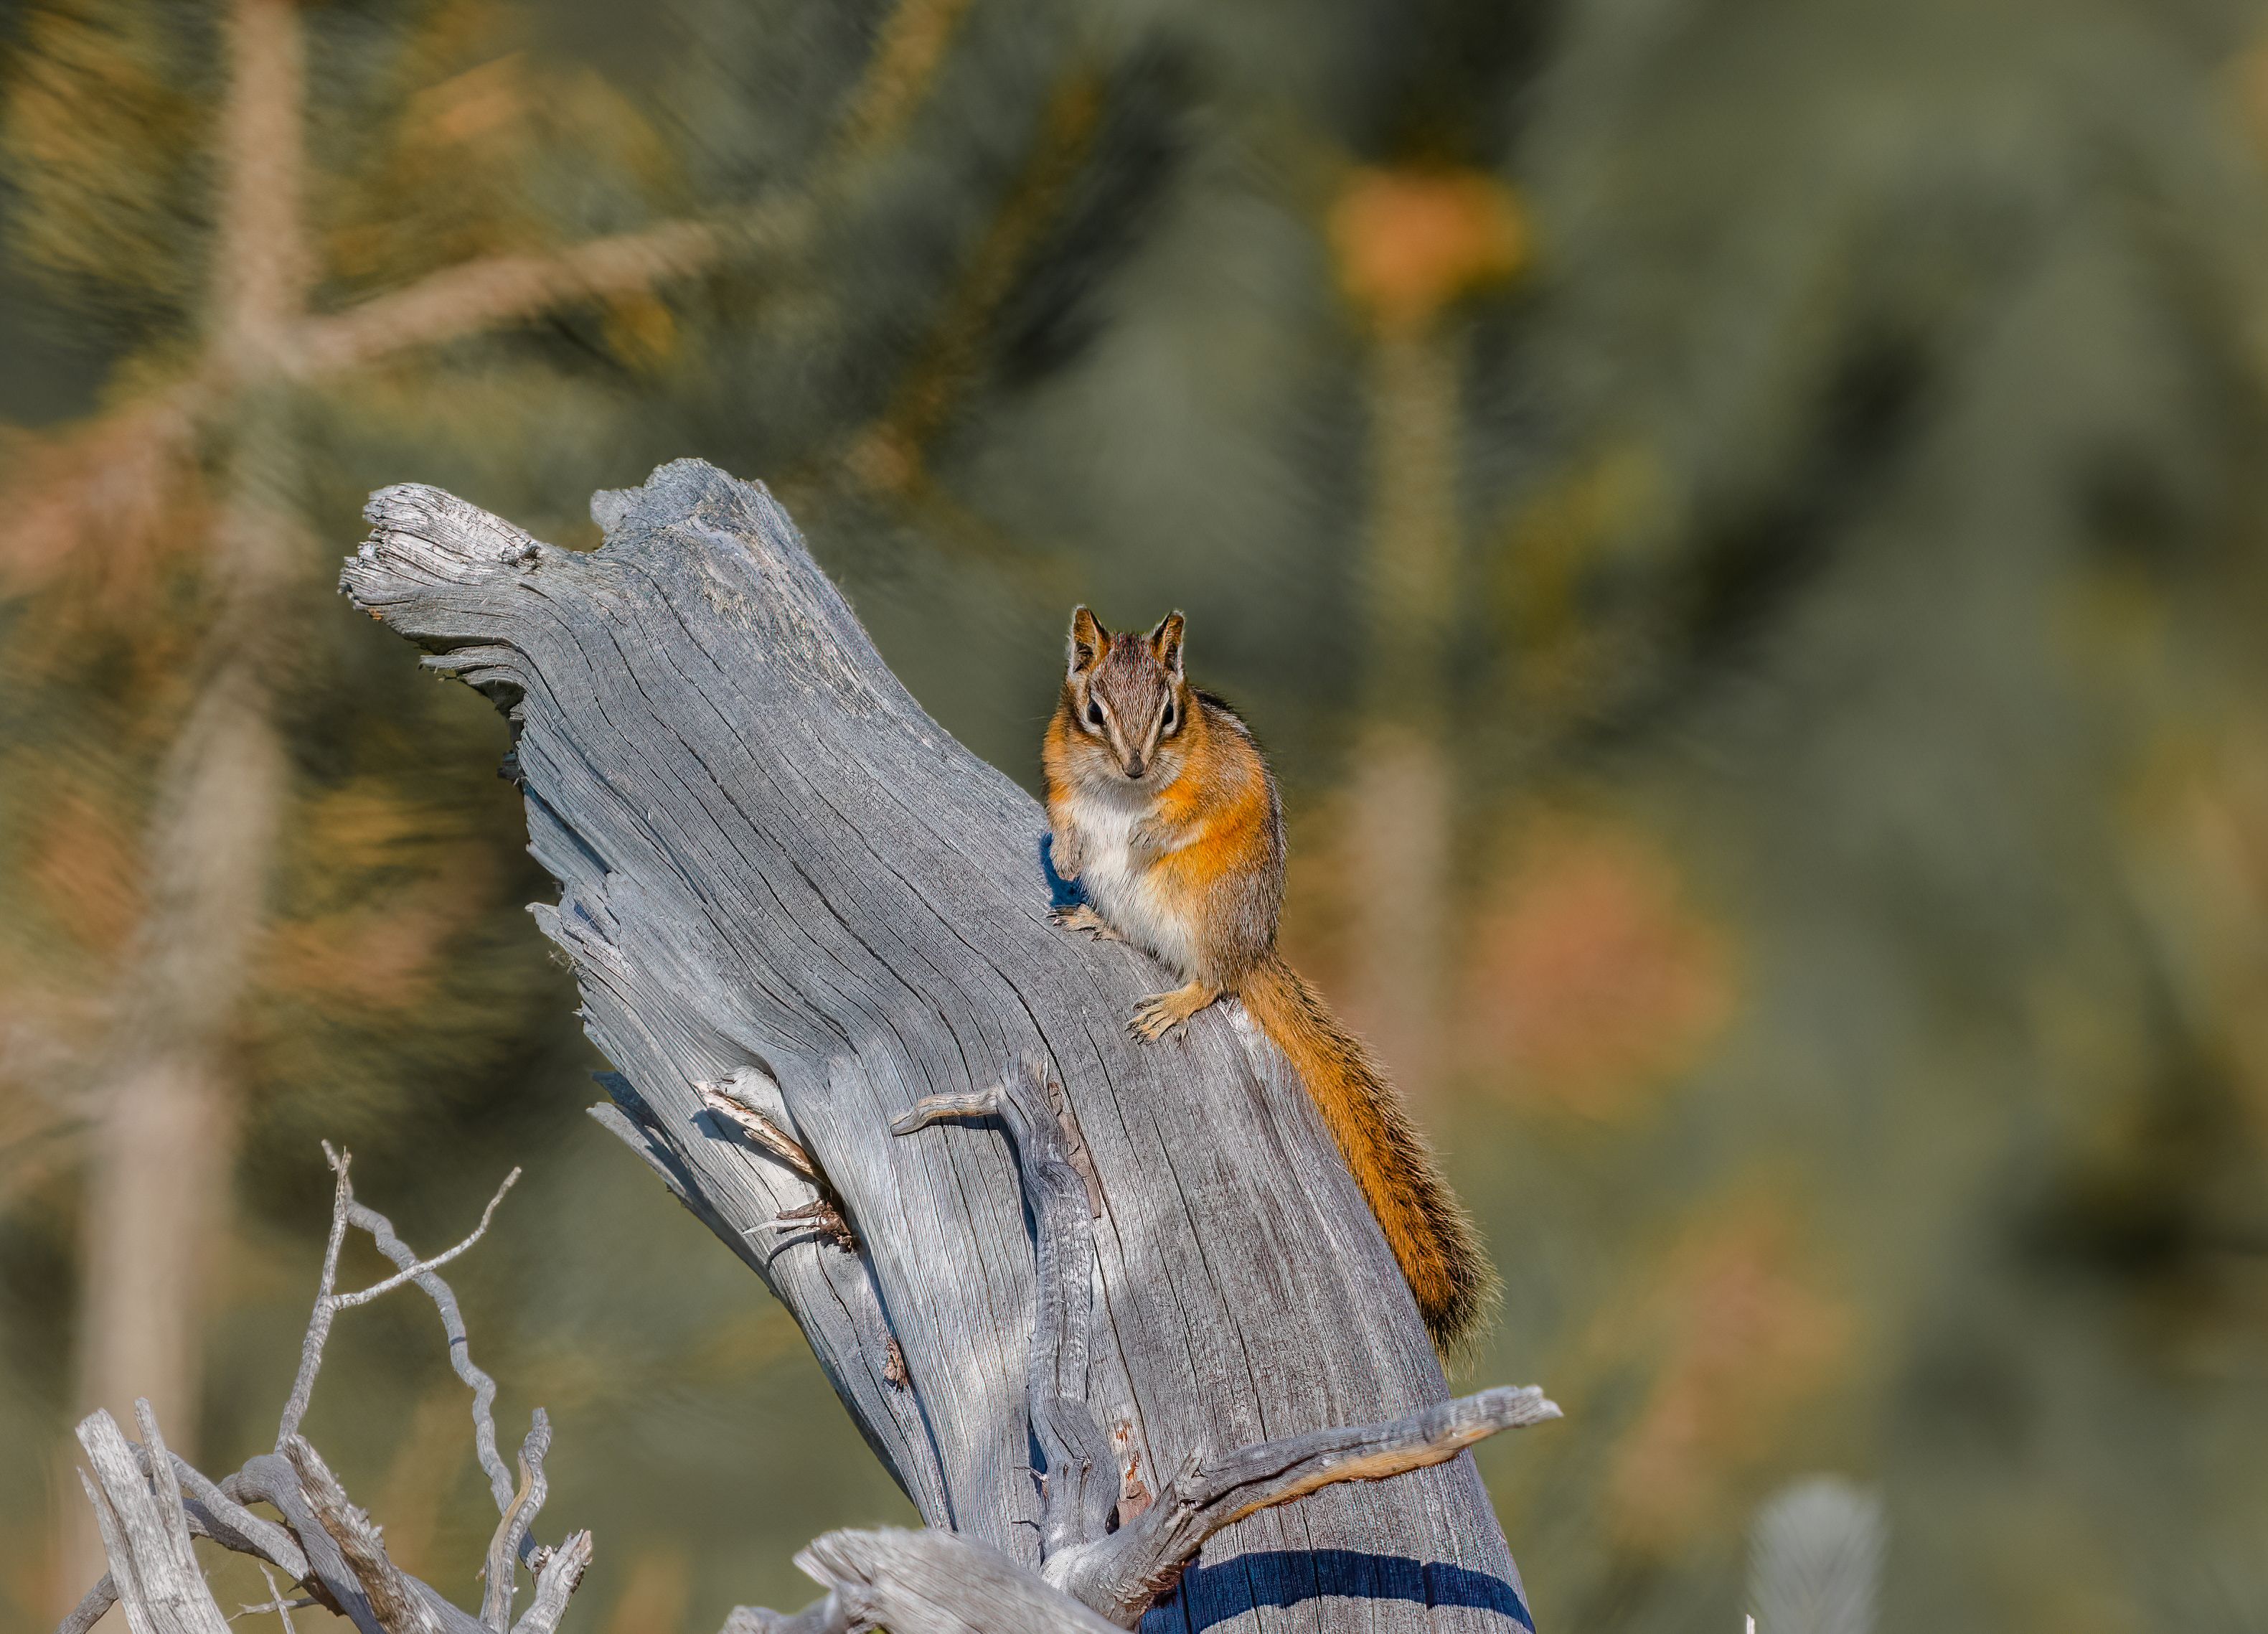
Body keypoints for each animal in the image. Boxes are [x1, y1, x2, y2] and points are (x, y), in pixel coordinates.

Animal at [1041, 605, 1496, 1352]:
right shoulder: (1058, 767)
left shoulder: (1219, 776)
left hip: (1208, 912)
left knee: (1214, 980)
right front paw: (1065, 854)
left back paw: (1176, 1001)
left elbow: (1197, 807)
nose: (1136, 766)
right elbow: (1060, 811)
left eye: (1171, 714)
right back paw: (1098, 921)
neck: (1122, 789)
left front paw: (1145, 834)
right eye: (1093, 712)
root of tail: (1255, 949)